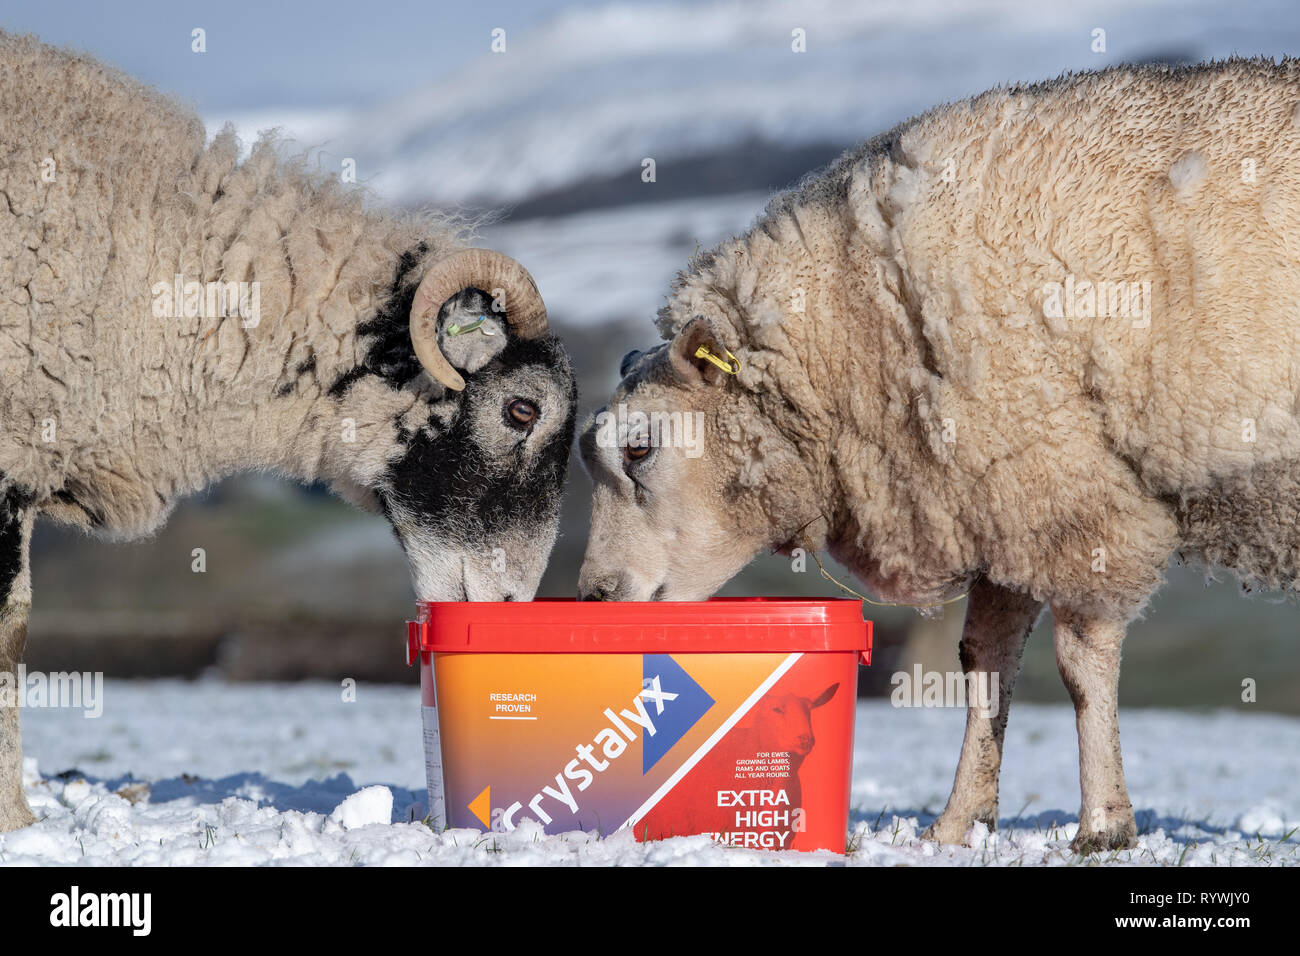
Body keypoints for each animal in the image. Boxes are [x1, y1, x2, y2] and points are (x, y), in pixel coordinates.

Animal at [577, 57, 1300, 853]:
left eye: (639, 448)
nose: (595, 596)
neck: (859, 324)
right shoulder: (1001, 493)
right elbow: (983, 664)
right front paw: (960, 822)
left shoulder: (1073, 498)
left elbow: (1080, 669)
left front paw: (1103, 826)